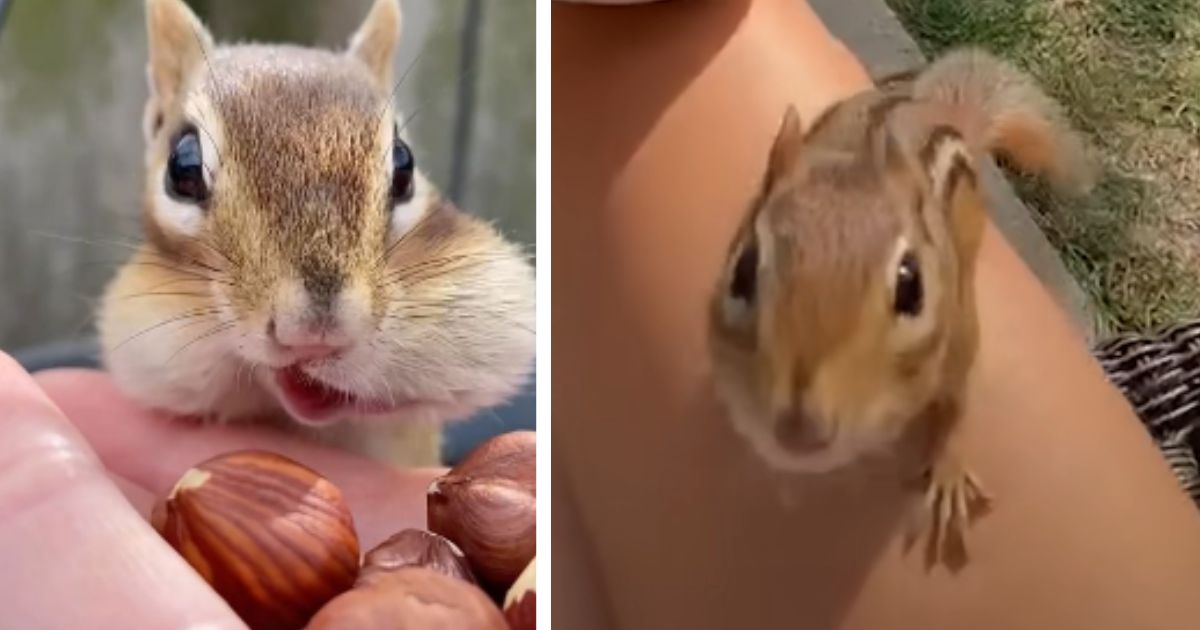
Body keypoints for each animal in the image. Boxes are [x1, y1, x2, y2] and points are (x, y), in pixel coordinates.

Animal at [707, 48, 1094, 569]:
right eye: (743, 270)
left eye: (912, 288)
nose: (799, 431)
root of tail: (941, 110)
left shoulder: (953, 339)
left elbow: (958, 406)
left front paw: (948, 473)